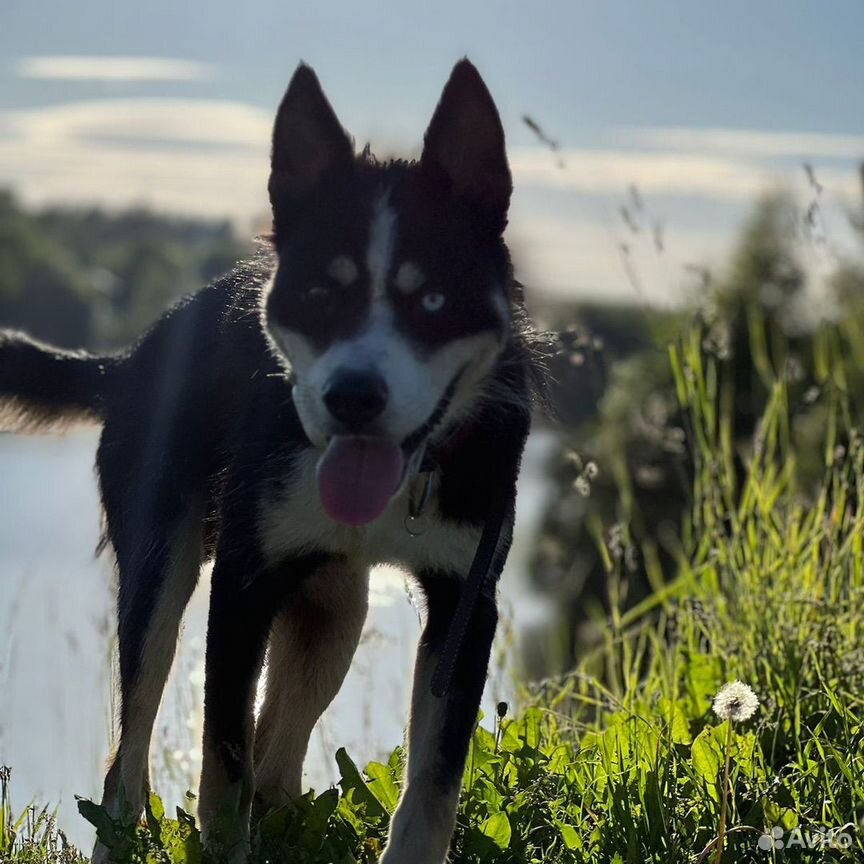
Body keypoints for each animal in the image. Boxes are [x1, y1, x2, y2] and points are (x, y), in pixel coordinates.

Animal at [0, 57, 536, 860]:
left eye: (434, 301)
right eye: (320, 293)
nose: (353, 397)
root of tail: (128, 361)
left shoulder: (466, 604)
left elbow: (432, 785)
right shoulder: (243, 582)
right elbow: (222, 766)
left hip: (334, 610)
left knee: (277, 750)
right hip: (163, 571)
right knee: (131, 757)